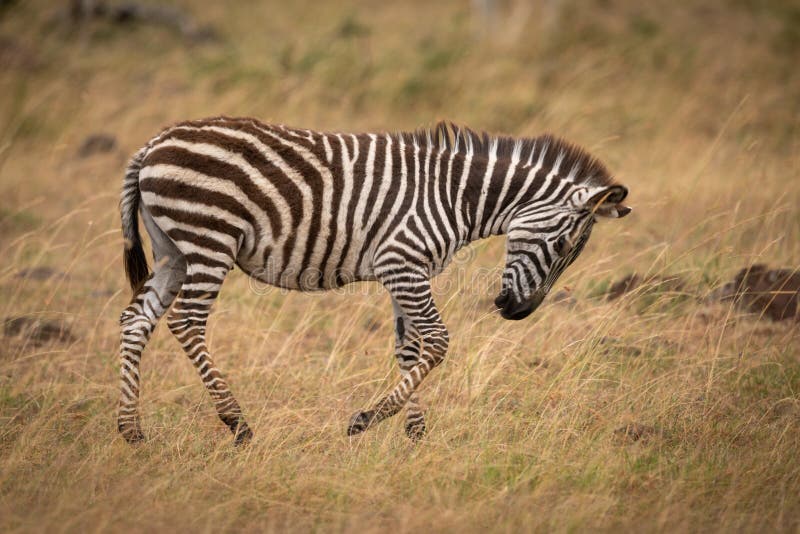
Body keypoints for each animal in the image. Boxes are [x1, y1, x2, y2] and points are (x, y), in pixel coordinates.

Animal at [117, 117, 631, 445]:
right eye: (562, 247)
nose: (516, 311)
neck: (456, 198)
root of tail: (154, 143)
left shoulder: (407, 270)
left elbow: (411, 349)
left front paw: (414, 434)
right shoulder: (401, 264)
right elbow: (438, 342)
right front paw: (367, 420)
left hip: (173, 251)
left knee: (135, 320)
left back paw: (131, 430)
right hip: (209, 240)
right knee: (187, 323)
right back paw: (238, 424)